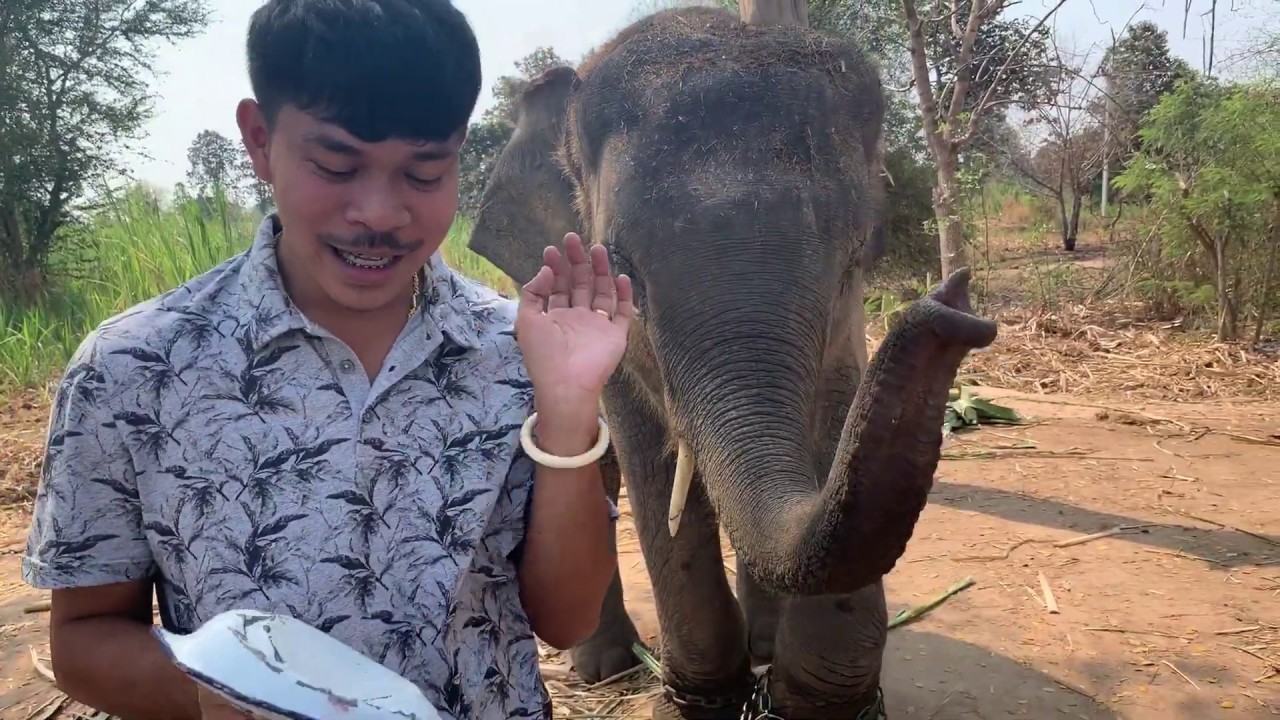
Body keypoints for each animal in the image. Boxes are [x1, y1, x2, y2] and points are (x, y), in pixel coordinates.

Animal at [467, 7, 998, 720]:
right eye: (622, 269)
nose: (954, 301)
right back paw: (605, 668)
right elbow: (651, 463)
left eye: (861, 255)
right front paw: (701, 701)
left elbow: (835, 414)